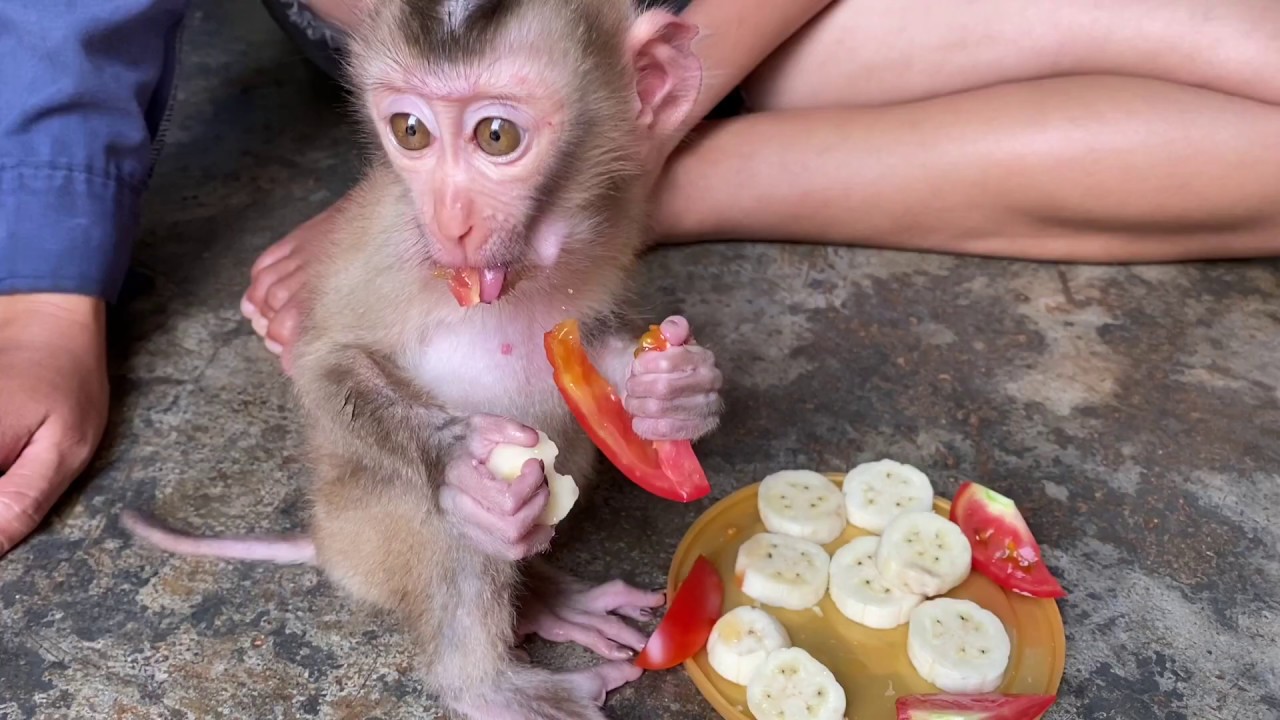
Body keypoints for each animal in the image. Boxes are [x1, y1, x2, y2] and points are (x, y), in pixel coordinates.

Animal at [119, 1, 722, 718]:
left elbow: (588, 344)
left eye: (495, 136)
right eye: (410, 132)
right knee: (459, 529)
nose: (449, 220)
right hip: (370, 531)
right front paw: (459, 457)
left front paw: (674, 392)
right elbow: (325, 363)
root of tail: (328, 542)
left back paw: (546, 599)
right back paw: (486, 687)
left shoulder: (611, 220)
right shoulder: (395, 245)